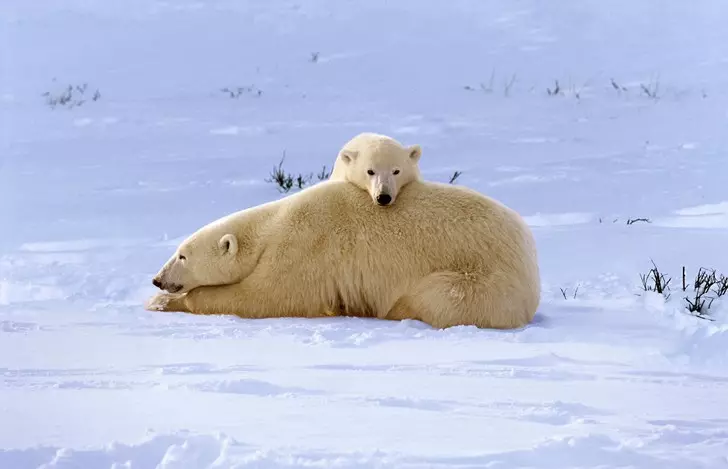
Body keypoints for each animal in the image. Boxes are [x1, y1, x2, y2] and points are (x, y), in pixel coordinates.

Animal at [145, 179, 540, 330]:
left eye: (182, 255)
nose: (158, 279)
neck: (273, 226)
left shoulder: (305, 245)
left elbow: (266, 296)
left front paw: (164, 303)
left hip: (481, 277)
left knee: (436, 296)